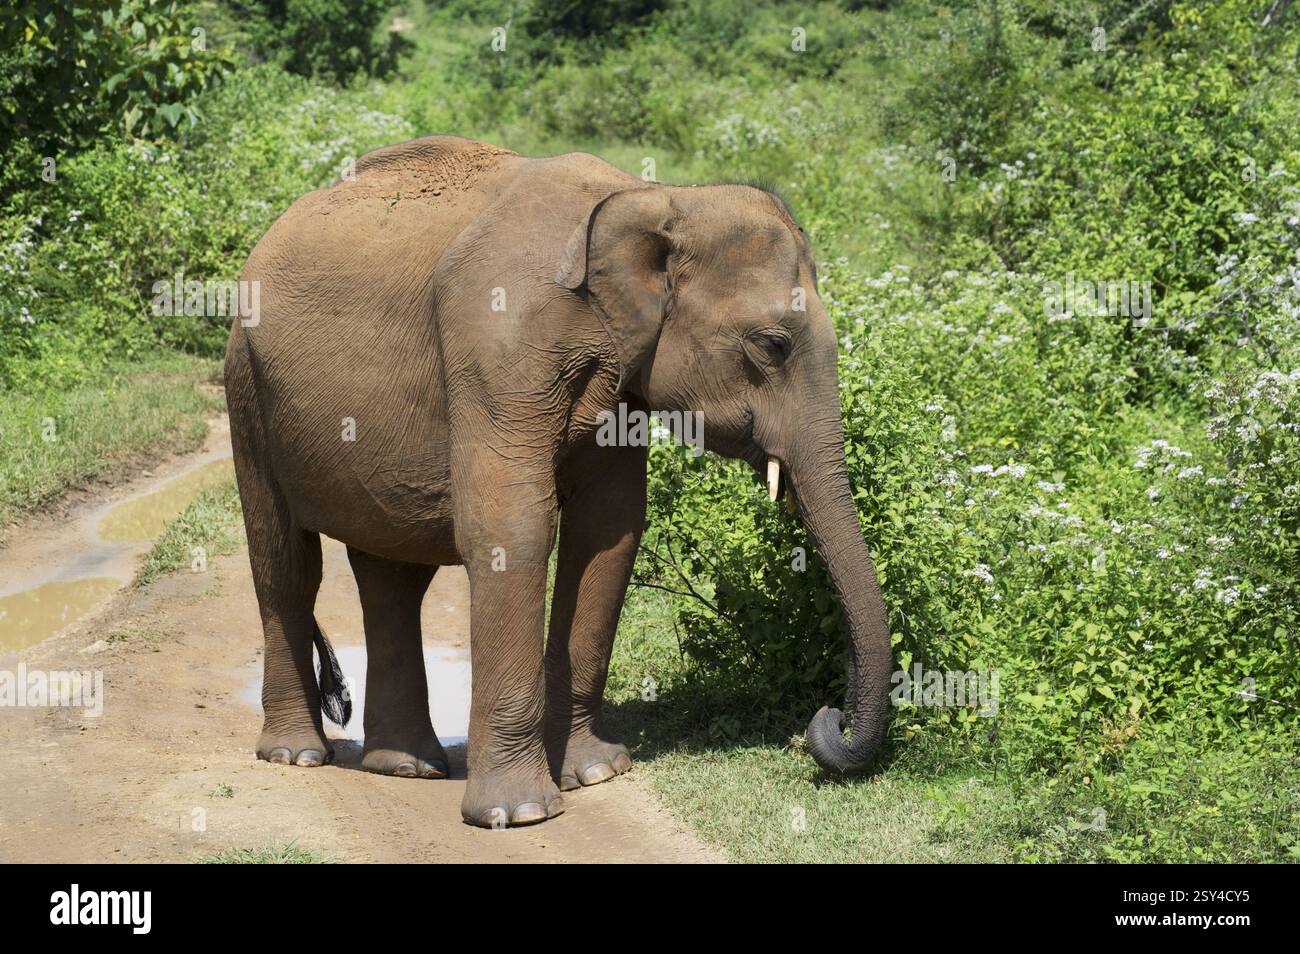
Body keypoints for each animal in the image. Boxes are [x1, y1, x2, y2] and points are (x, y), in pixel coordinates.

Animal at [224, 135, 892, 828]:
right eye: (771, 344)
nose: (827, 722)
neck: (658, 197)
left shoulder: (622, 374)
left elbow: (609, 529)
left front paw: (596, 773)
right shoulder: (499, 338)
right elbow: (513, 525)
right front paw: (519, 814)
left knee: (392, 577)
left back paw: (404, 766)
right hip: (245, 387)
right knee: (286, 564)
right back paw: (299, 755)